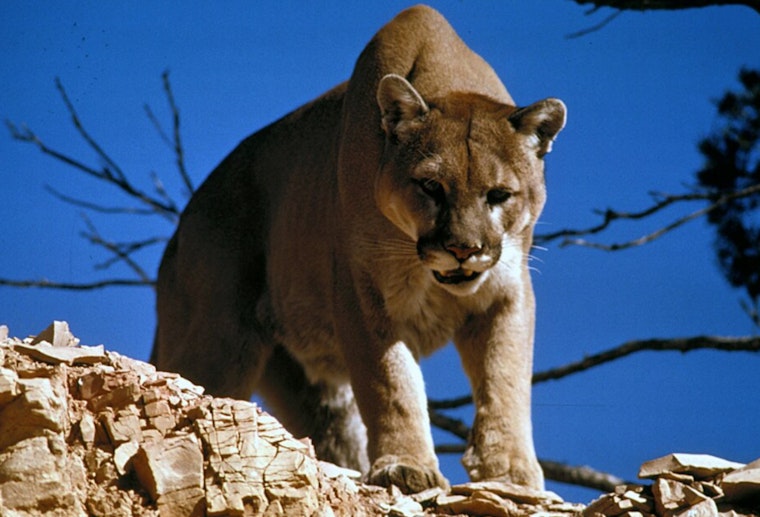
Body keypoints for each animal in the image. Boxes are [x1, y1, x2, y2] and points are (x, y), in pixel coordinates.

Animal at [152, 5, 566, 494]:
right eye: (431, 187)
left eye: (499, 195)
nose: (463, 249)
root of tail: (181, 226)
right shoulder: (362, 293)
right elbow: (391, 382)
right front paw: (407, 467)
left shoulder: (506, 291)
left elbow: (505, 379)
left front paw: (510, 472)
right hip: (219, 339)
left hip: (309, 385)